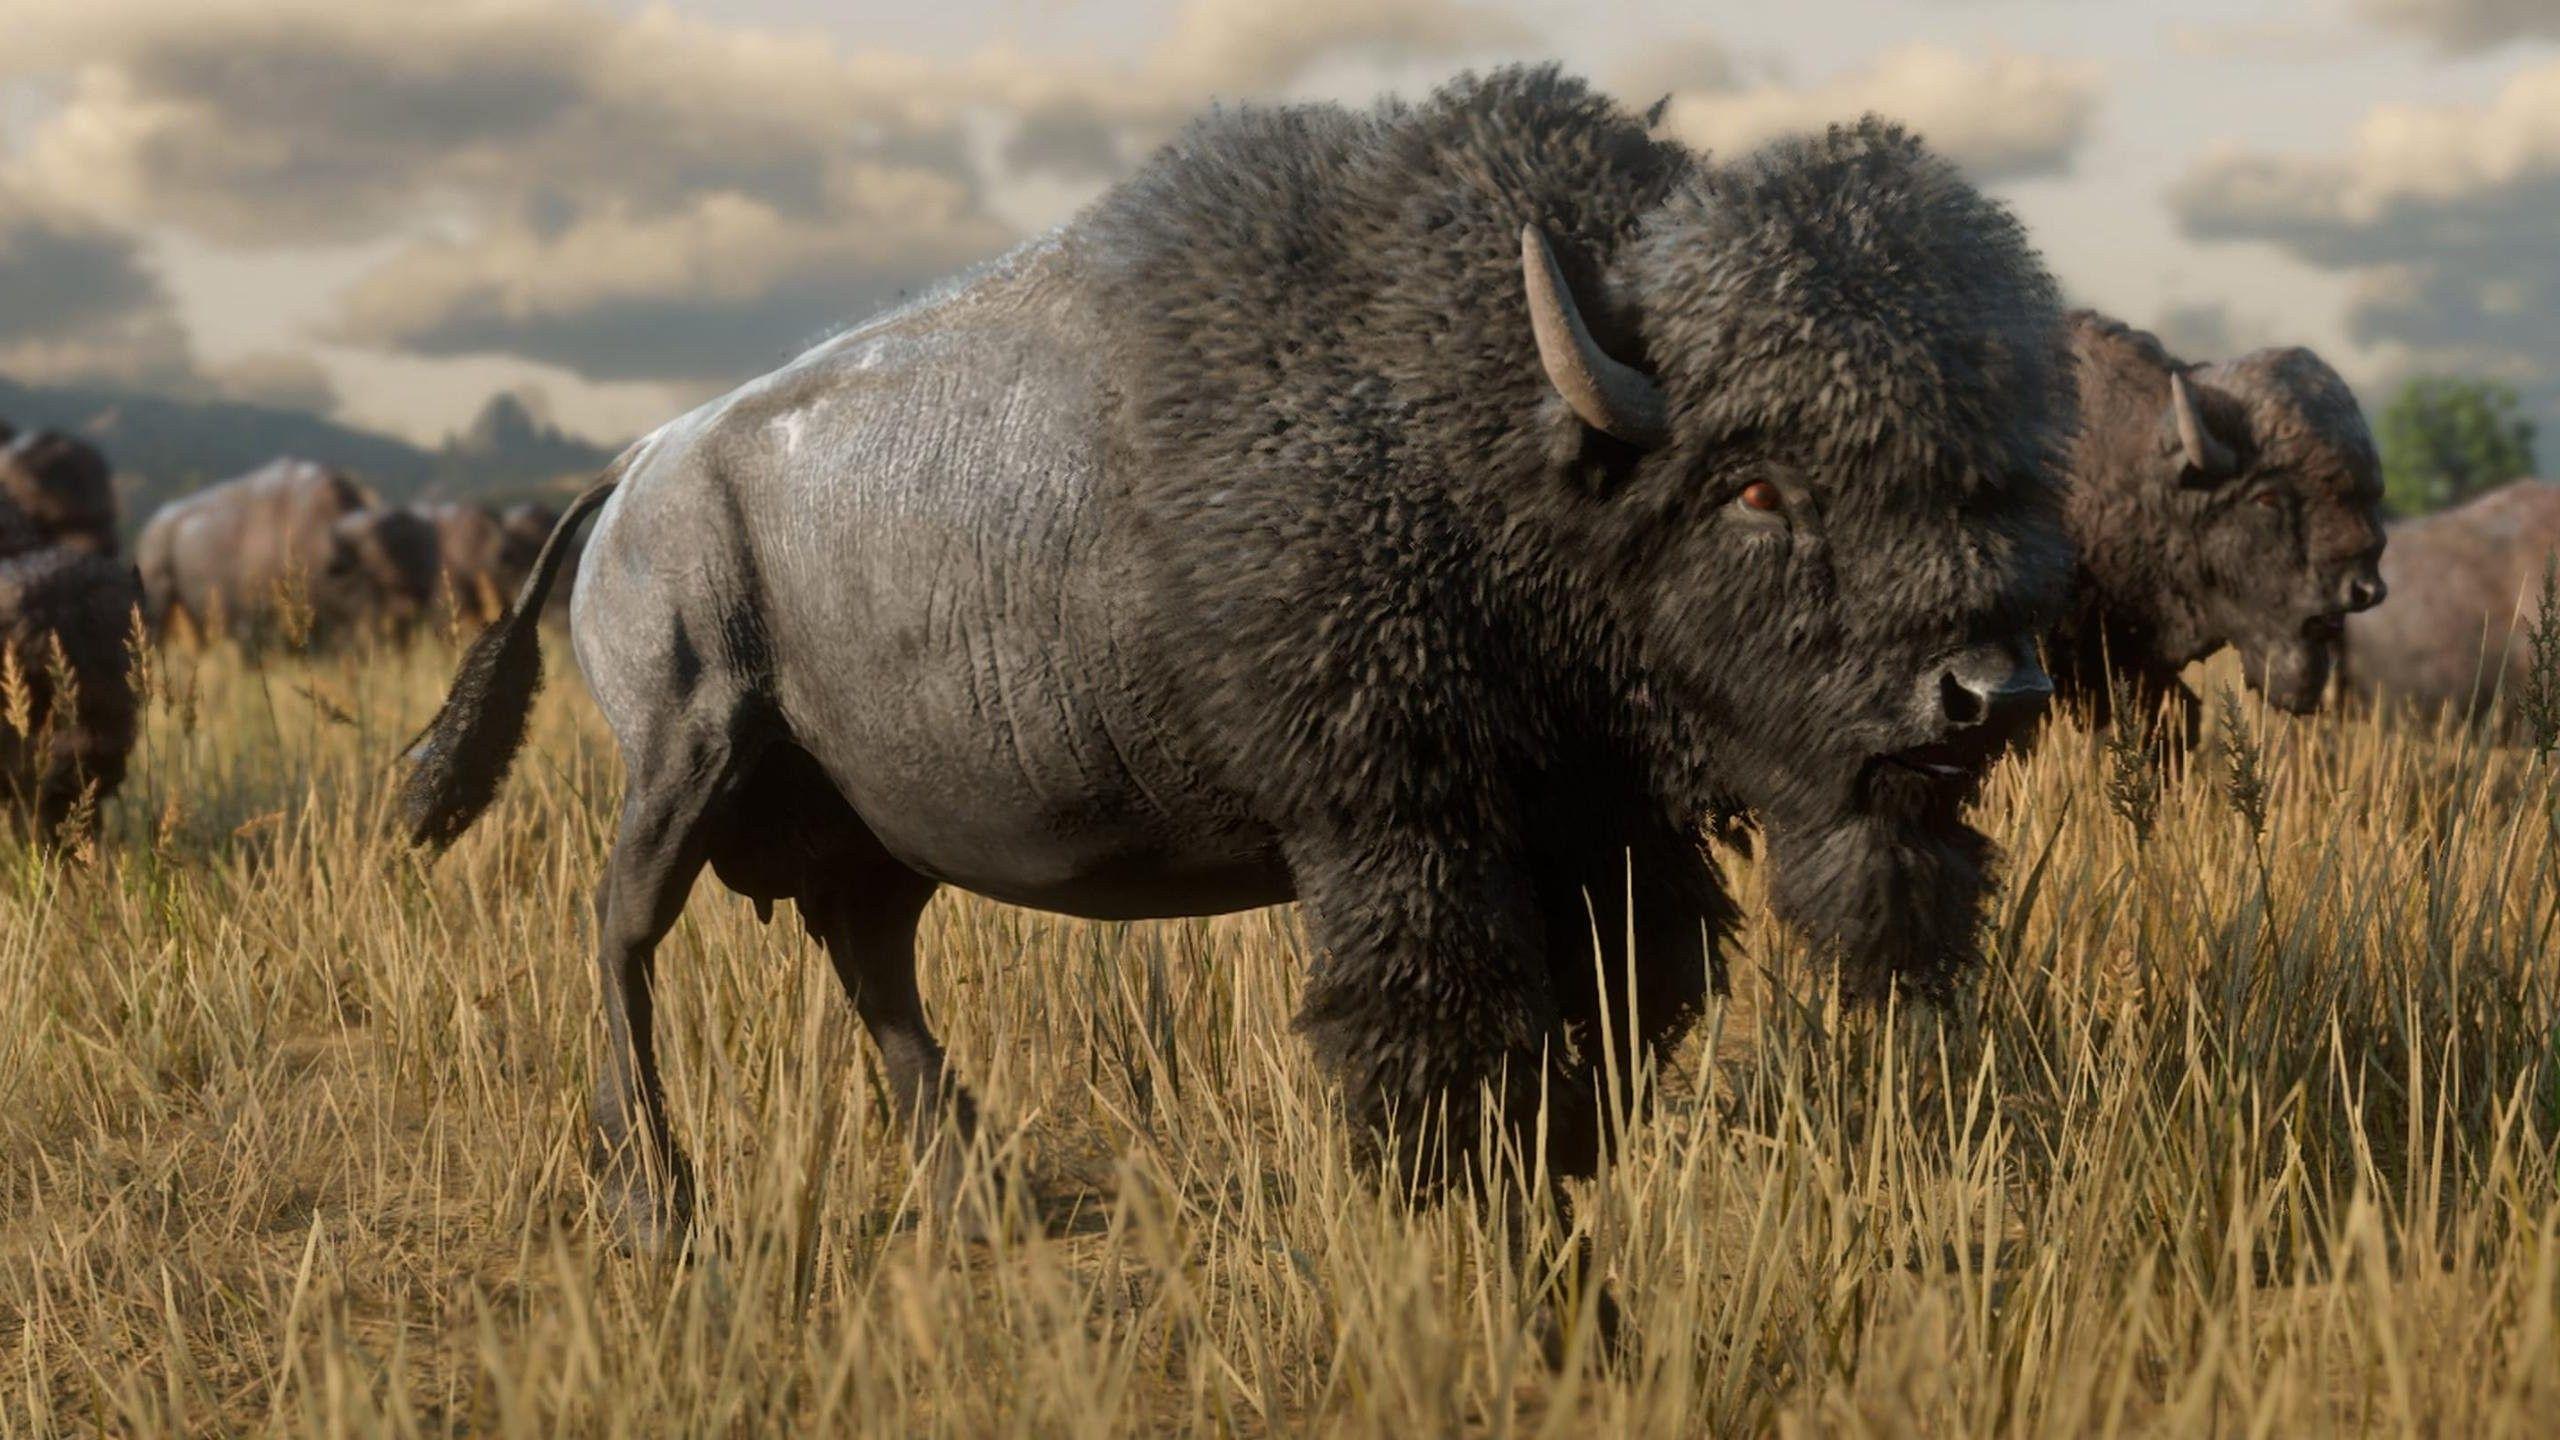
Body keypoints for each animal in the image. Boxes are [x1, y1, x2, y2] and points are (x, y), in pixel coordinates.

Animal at [403, 71, 2073, 1255]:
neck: (1493, 418)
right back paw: (661, 1207)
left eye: (1998, 466)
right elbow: (1437, 1021)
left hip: (866, 825)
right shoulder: (1400, 831)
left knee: (872, 963)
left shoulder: (1601, 837)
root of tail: (638, 469)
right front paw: (1459, 1198)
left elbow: (1616, 1009)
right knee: (623, 936)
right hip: (682, 758)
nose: (1984, 692)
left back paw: (977, 1197)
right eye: (1757, 485)